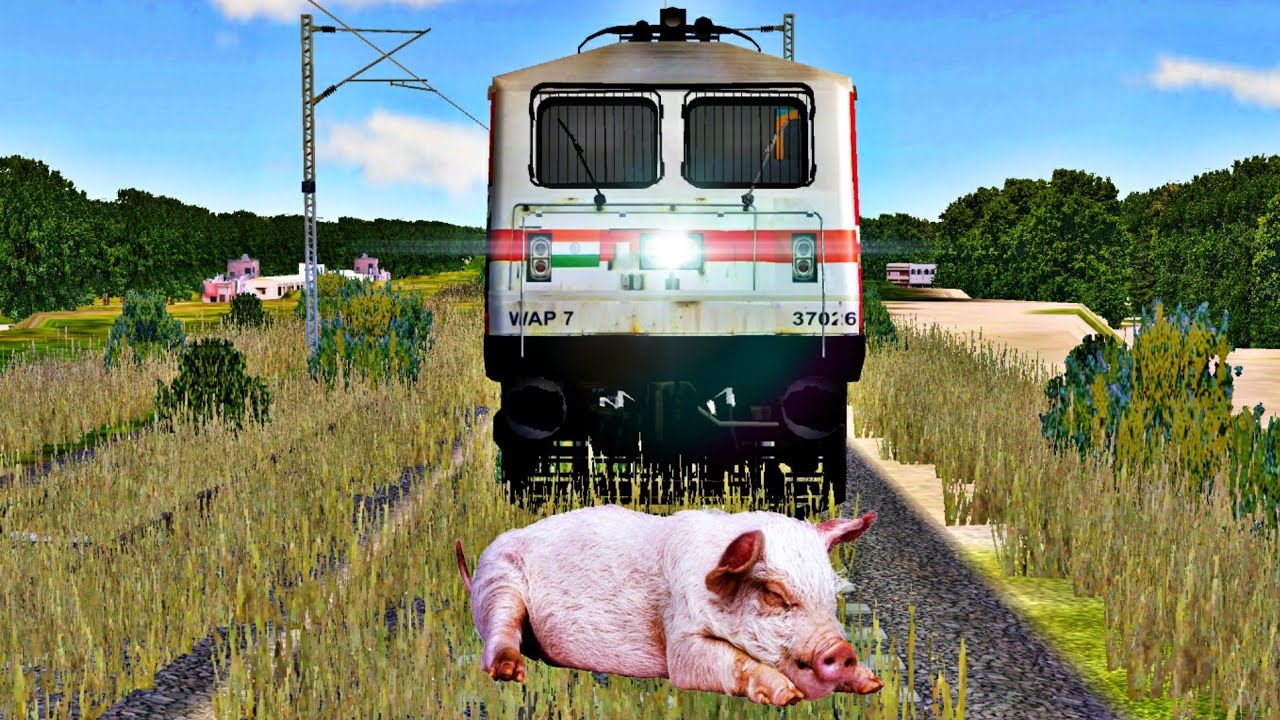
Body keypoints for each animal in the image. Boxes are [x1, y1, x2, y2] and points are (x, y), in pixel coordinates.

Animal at [454, 505, 883, 706]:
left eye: (831, 595)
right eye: (775, 595)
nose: (842, 651)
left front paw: (873, 684)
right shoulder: (681, 639)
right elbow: (723, 662)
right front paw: (789, 696)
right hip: (498, 580)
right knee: (501, 629)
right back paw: (511, 673)